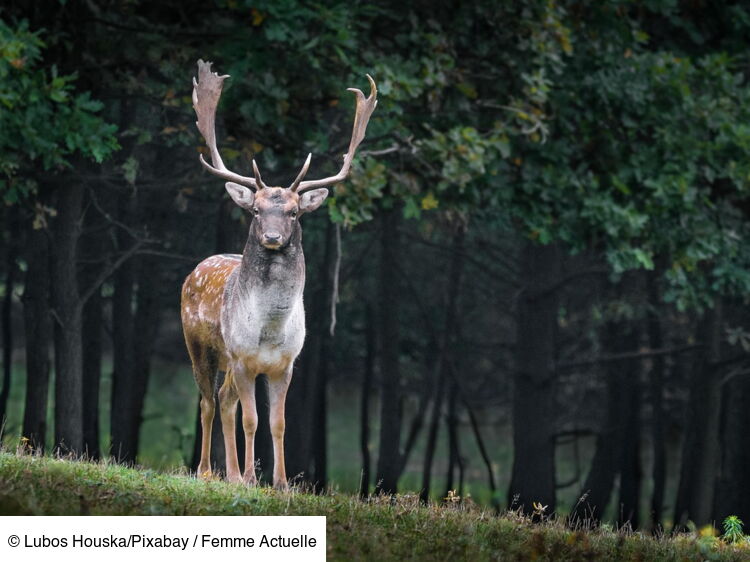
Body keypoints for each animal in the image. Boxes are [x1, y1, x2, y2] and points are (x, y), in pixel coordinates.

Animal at [181, 60, 377, 489]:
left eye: (294, 212)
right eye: (256, 210)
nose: (272, 237)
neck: (269, 330)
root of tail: (195, 270)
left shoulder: (285, 364)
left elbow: (278, 422)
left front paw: (281, 482)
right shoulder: (242, 358)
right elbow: (252, 420)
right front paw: (252, 478)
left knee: (223, 401)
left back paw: (230, 474)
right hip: (199, 346)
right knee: (207, 401)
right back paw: (207, 471)